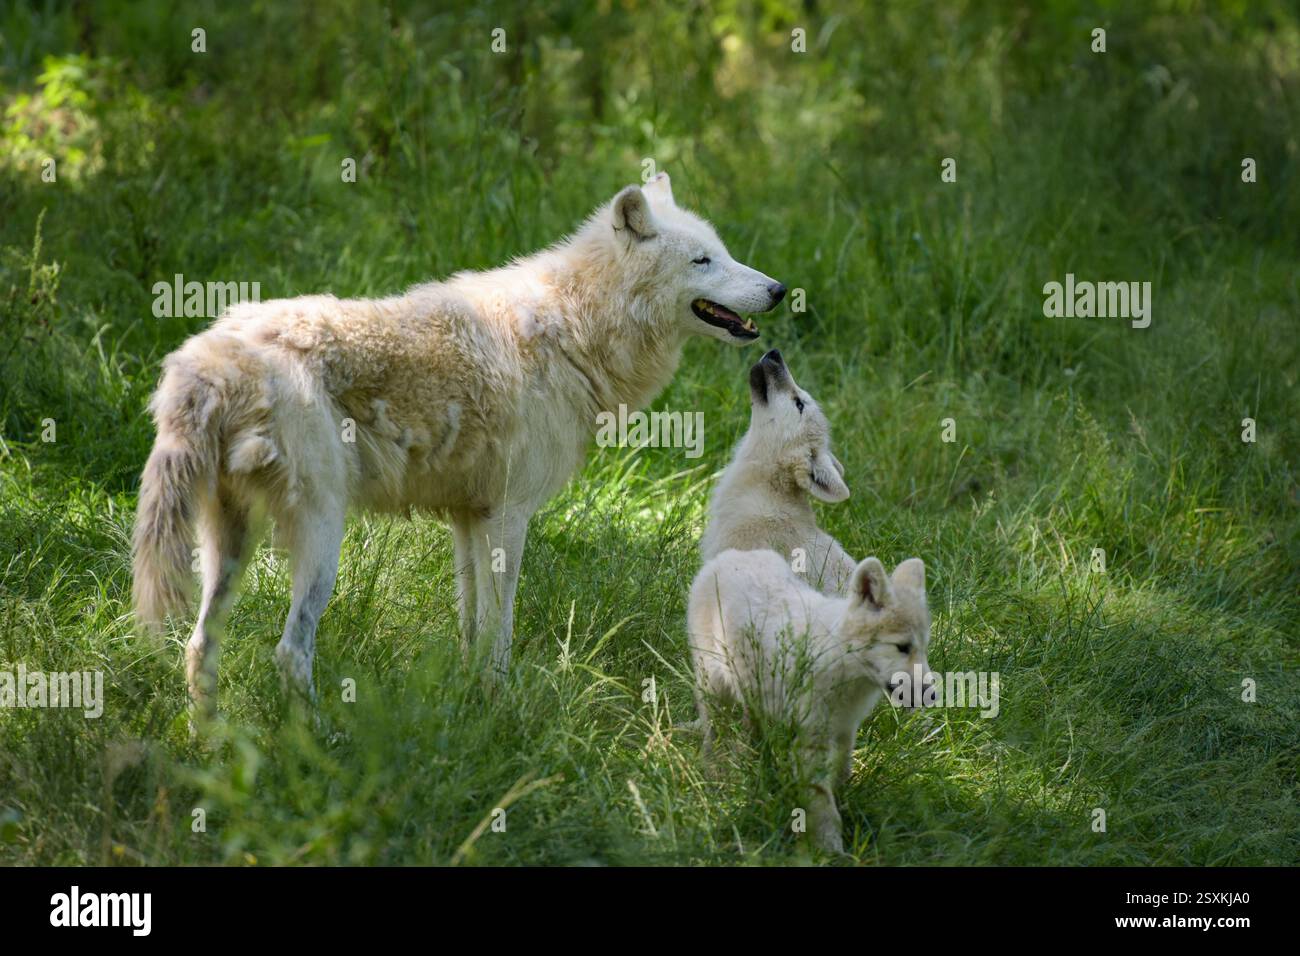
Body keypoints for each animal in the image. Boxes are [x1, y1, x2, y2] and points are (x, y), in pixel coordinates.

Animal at [132, 172, 785, 715]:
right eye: (703, 260)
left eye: (724, 252)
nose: (779, 289)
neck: (573, 328)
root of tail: (210, 359)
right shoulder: (508, 517)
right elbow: (500, 630)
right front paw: (499, 707)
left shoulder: (471, 517)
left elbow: (472, 626)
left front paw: (469, 697)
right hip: (320, 539)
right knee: (290, 652)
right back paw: (316, 739)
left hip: (228, 546)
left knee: (198, 645)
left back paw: (212, 744)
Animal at [686, 548, 933, 854]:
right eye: (902, 647)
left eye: (923, 648)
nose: (932, 694)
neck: (843, 664)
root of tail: (730, 556)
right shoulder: (812, 740)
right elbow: (821, 803)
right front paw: (831, 850)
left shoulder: (844, 731)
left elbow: (840, 778)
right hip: (715, 692)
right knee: (713, 742)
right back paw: (717, 783)